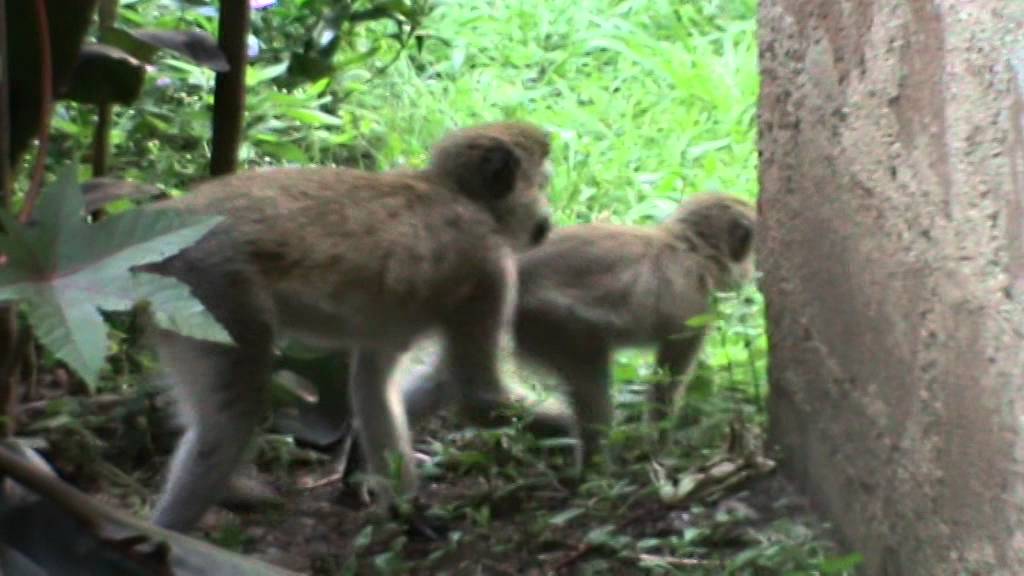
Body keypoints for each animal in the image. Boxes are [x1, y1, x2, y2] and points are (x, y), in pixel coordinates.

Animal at [135, 121, 553, 531]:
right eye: (545, 183)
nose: (548, 218)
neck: (456, 194)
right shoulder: (491, 267)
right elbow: (479, 393)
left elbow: (385, 383)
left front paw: (381, 489)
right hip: (215, 287)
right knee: (231, 420)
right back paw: (167, 529)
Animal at [402, 192, 756, 469]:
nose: (752, 273)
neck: (689, 247)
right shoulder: (693, 308)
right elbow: (665, 384)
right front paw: (659, 449)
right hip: (543, 320)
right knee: (586, 368)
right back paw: (593, 467)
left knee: (447, 379)